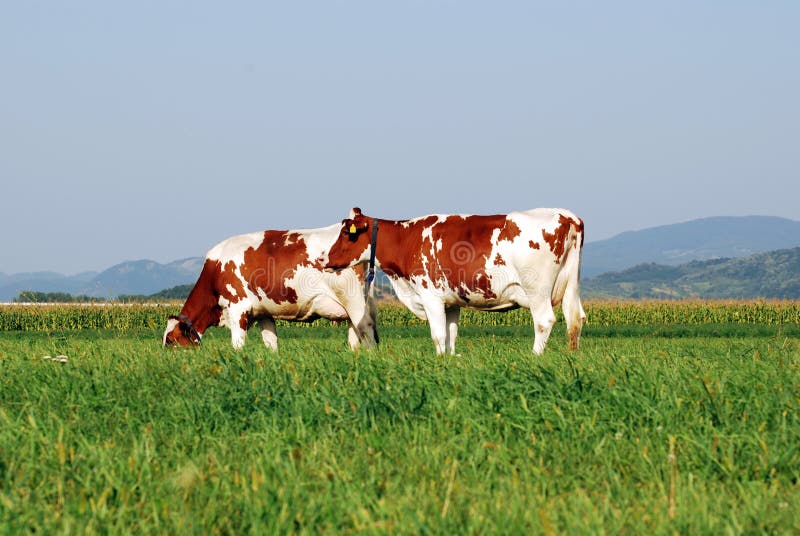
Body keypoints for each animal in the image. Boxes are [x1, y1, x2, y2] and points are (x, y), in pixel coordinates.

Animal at [163, 224, 378, 350]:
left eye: (171, 340)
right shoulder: (263, 312)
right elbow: (270, 342)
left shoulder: (238, 307)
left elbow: (237, 344)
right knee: (354, 336)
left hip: (353, 300)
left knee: (366, 329)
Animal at [322, 208, 585, 355]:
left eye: (346, 233)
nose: (326, 260)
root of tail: (568, 216)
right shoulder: (452, 303)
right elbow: (451, 335)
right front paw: (449, 360)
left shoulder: (431, 297)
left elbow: (438, 335)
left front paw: (439, 361)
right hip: (571, 285)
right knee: (576, 319)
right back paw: (572, 356)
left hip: (537, 289)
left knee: (544, 321)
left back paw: (535, 356)